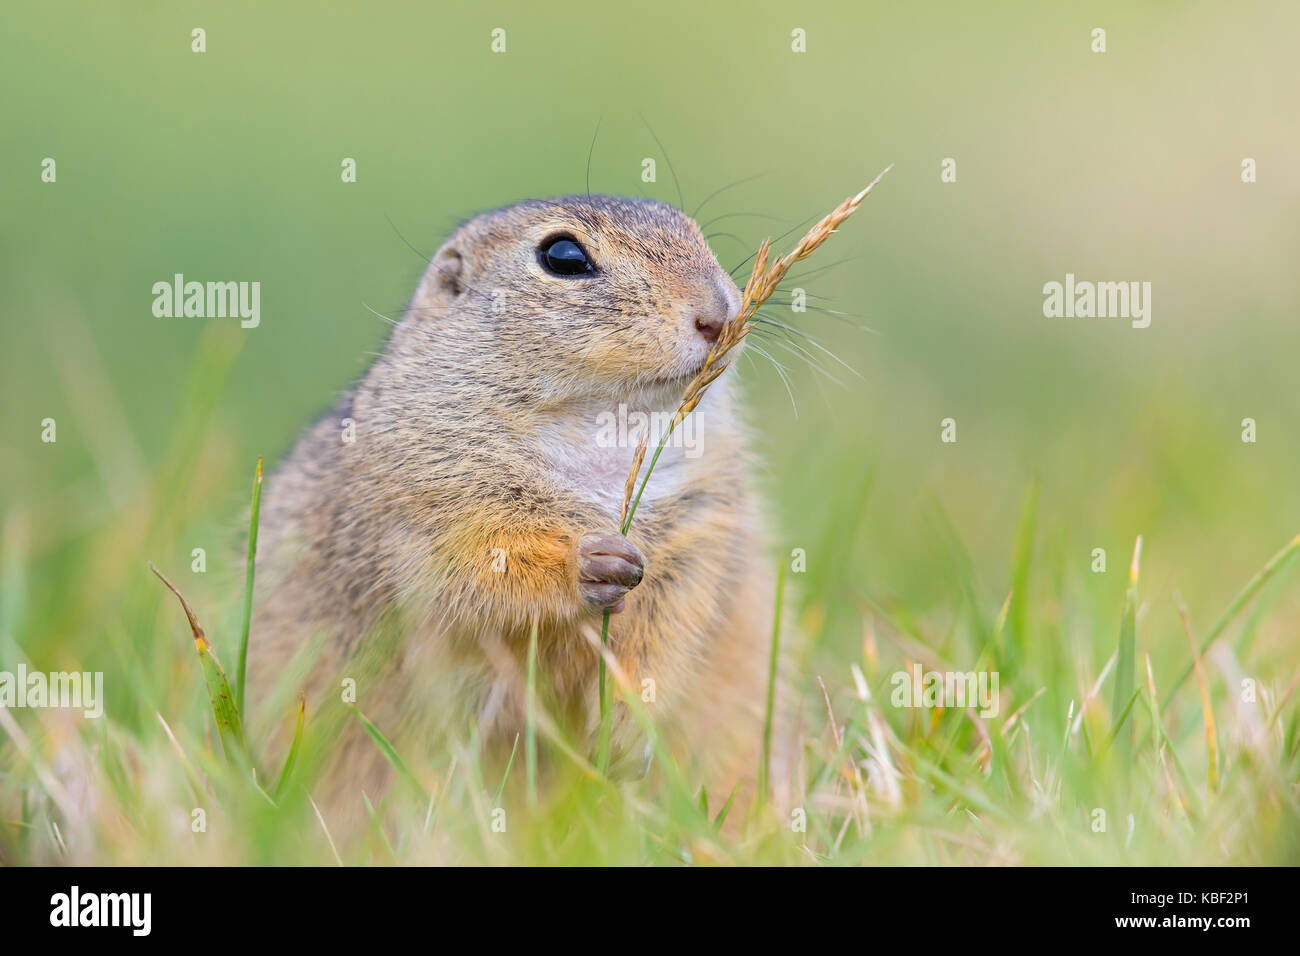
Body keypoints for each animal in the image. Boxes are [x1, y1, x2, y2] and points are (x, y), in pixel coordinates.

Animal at [247, 195, 788, 827]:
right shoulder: (429, 504)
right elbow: (473, 574)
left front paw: (628, 728)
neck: (598, 425)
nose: (720, 315)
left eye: (697, 234)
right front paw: (588, 564)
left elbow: (675, 625)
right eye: (563, 256)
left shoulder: (703, 521)